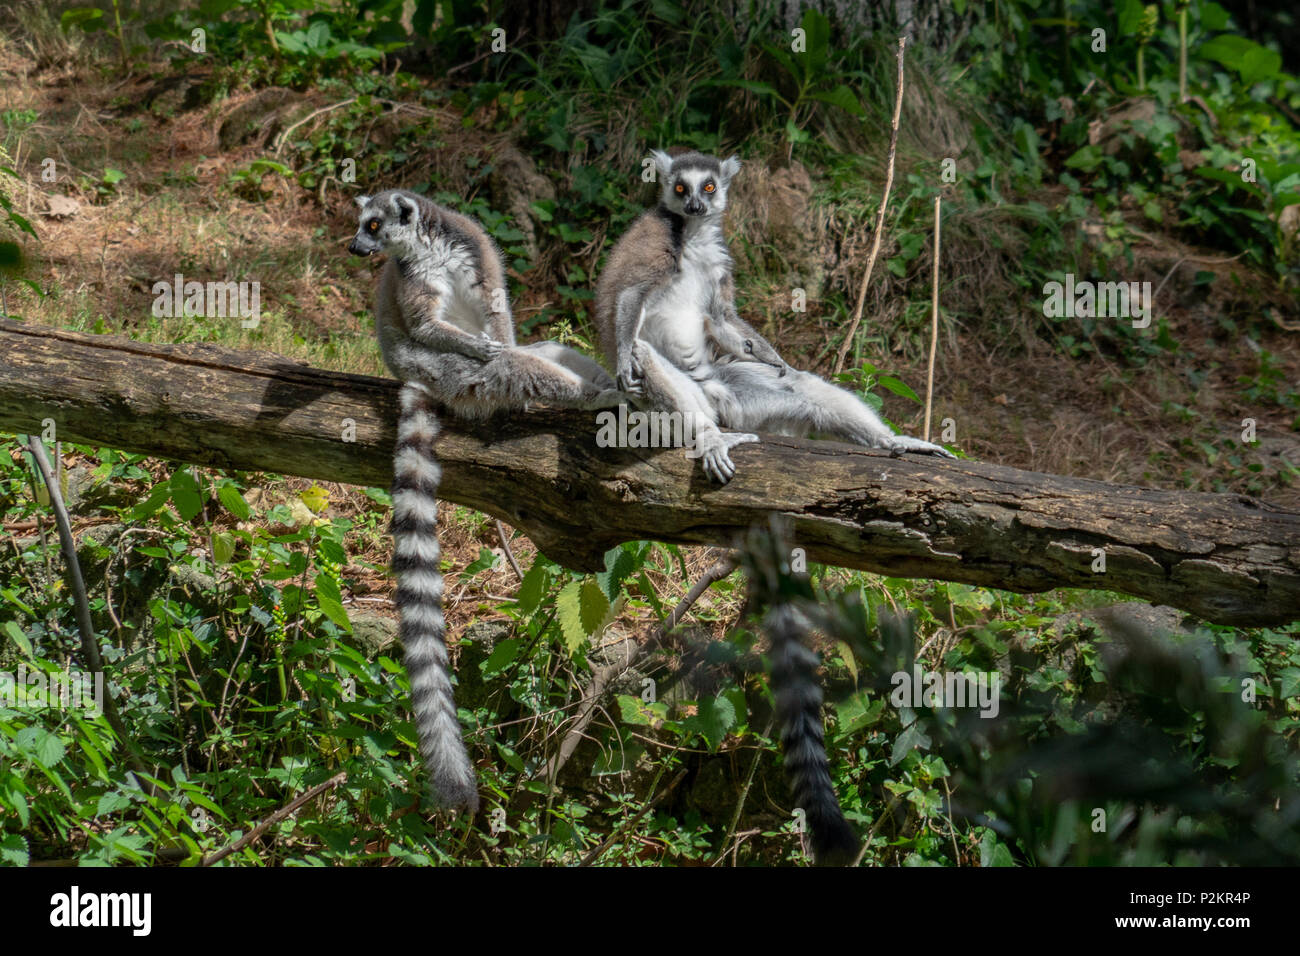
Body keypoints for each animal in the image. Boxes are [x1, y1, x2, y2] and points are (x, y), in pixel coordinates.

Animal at [350, 189, 621, 810]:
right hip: (448, 375)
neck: (425, 248)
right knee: (507, 366)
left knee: (543, 351)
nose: (354, 247)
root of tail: (417, 380)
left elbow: (496, 307)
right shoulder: (414, 288)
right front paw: (475, 342)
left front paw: (493, 332)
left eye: (372, 225)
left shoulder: (473, 251)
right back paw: (602, 395)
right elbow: (432, 326)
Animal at [595, 149, 955, 483]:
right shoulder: (655, 239)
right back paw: (710, 437)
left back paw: (889, 440)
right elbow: (630, 294)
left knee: (801, 385)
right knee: (645, 355)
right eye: (681, 188)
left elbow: (722, 316)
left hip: (741, 392)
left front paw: (773, 357)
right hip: (673, 400)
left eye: (709, 187)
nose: (695, 206)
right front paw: (623, 361)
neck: (694, 233)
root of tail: (712, 390)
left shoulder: (716, 260)